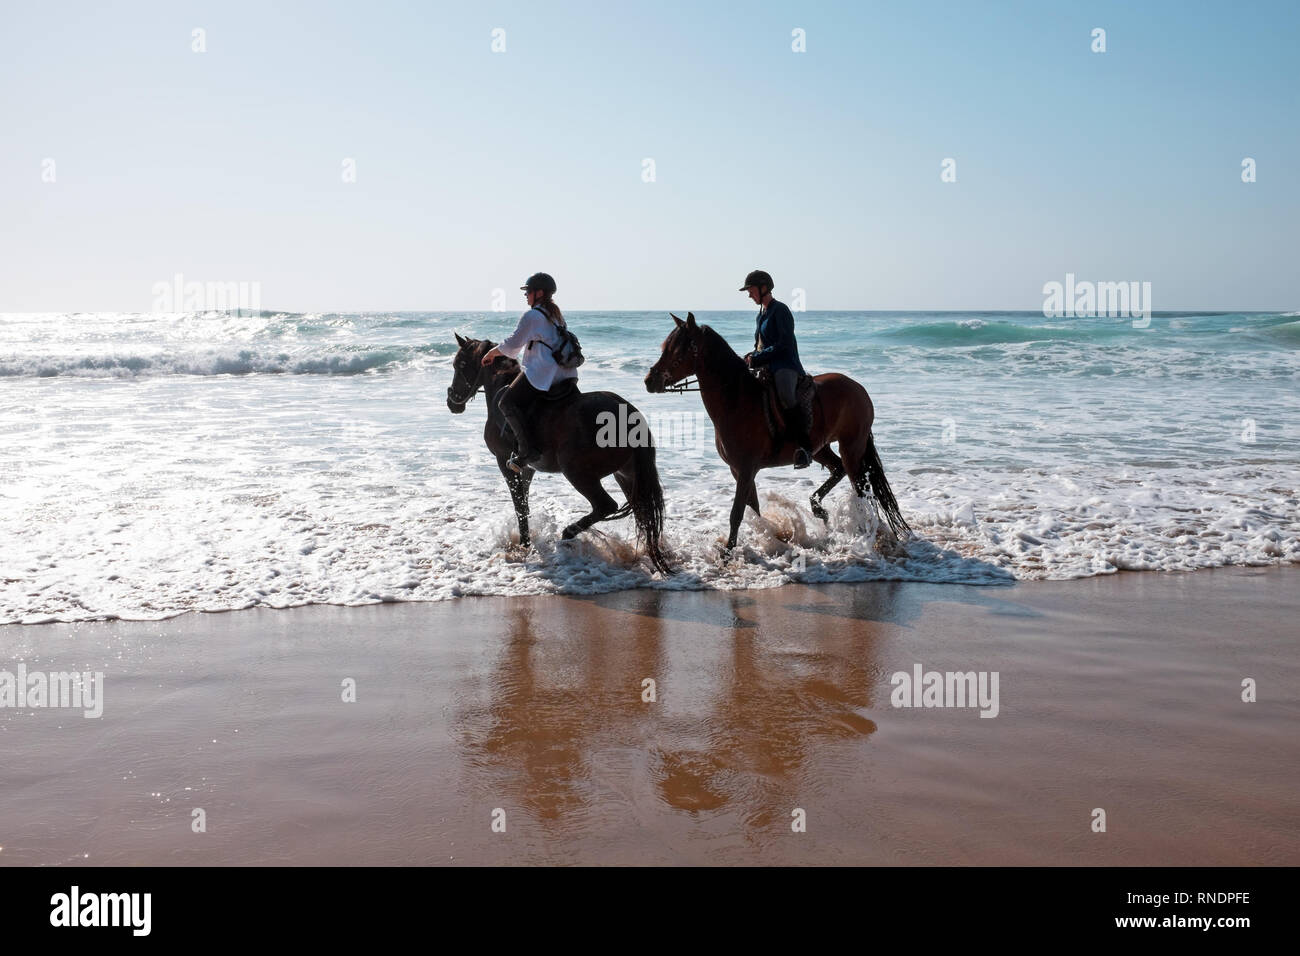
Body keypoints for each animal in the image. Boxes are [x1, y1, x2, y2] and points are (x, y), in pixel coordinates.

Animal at [446, 333, 672, 574]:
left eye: (459, 365)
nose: (452, 401)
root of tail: (627, 412)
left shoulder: (504, 461)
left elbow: (519, 505)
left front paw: (525, 545)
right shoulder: (527, 468)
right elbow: (524, 504)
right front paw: (526, 541)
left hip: (576, 471)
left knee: (605, 505)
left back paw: (568, 533)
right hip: (626, 474)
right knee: (641, 511)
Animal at [644, 312, 910, 551]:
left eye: (677, 350)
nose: (649, 380)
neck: (737, 399)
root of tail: (858, 388)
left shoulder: (746, 468)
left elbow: (736, 513)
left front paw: (728, 554)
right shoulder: (738, 470)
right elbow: (753, 510)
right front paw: (767, 538)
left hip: (852, 448)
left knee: (861, 491)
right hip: (820, 448)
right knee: (838, 470)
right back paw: (819, 509)